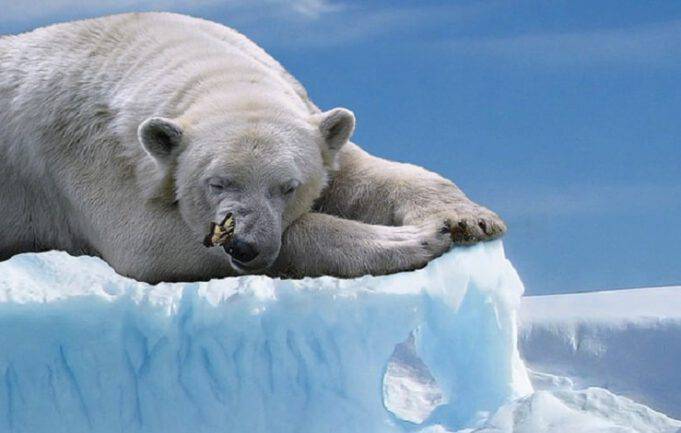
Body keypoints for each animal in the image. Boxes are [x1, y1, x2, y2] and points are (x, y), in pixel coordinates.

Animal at [0, 12, 506, 283]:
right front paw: (414, 239)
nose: (245, 246)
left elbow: (358, 174)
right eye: (216, 183)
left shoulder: (307, 117)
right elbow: (146, 239)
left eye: (287, 187)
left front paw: (465, 219)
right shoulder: (84, 148)